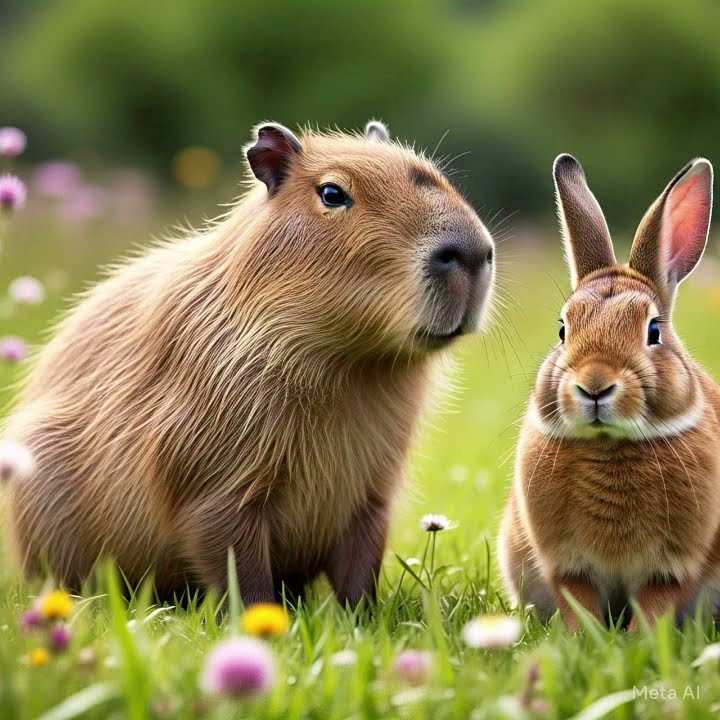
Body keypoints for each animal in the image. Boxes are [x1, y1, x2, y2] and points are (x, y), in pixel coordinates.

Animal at [498, 153, 719, 630]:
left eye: (653, 331)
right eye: (563, 330)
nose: (595, 384)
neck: (610, 443)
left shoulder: (670, 570)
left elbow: (654, 605)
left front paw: (637, 639)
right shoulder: (566, 565)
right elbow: (578, 600)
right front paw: (584, 638)